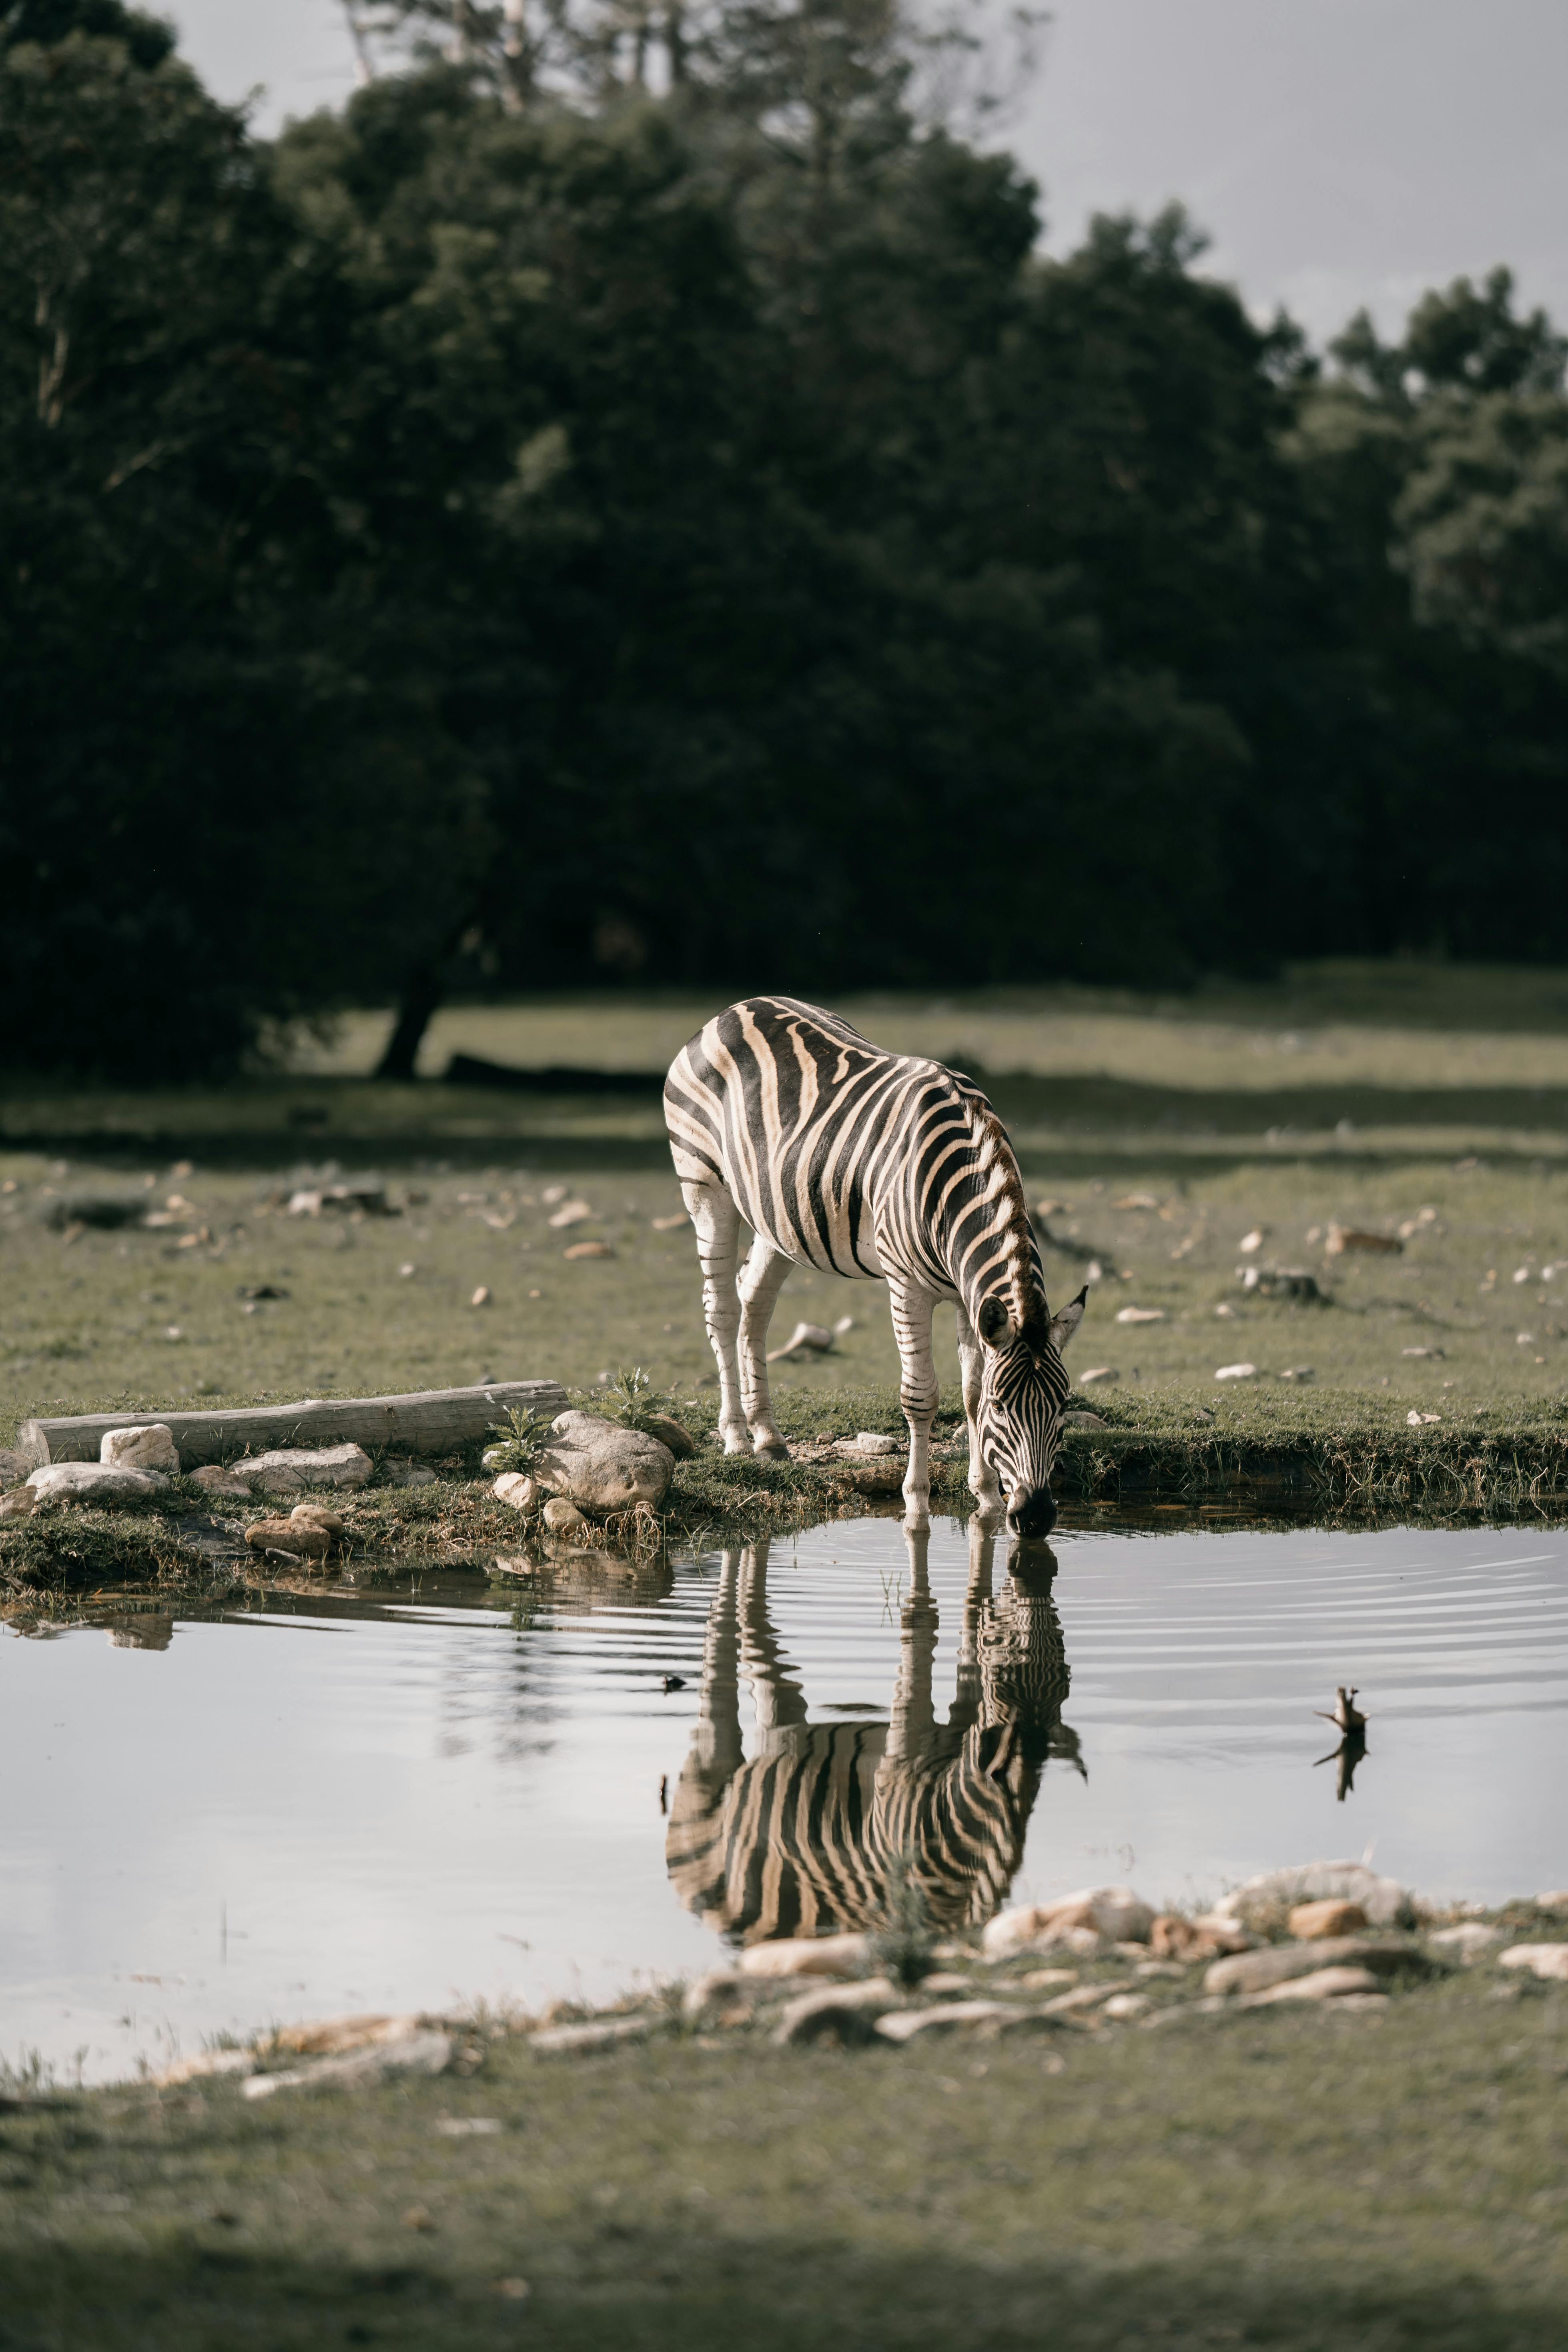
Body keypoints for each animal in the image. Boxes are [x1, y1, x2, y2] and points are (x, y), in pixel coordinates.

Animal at [664, 995, 1086, 1534]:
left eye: (1063, 1405)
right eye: (1002, 1408)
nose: (1034, 1518)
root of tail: (736, 1009)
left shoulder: (969, 1296)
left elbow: (968, 1391)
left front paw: (987, 1497)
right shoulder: (907, 1286)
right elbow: (922, 1396)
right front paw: (917, 1506)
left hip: (779, 1218)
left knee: (754, 1302)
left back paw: (768, 1437)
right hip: (705, 1188)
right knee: (721, 1309)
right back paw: (737, 1436)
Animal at [666, 1521, 1082, 1946]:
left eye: (1065, 1674)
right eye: (1002, 1670)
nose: (1029, 1536)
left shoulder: (966, 1720)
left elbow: (969, 1634)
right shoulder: (899, 1764)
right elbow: (922, 1621)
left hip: (785, 1741)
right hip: (708, 1779)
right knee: (723, 1641)